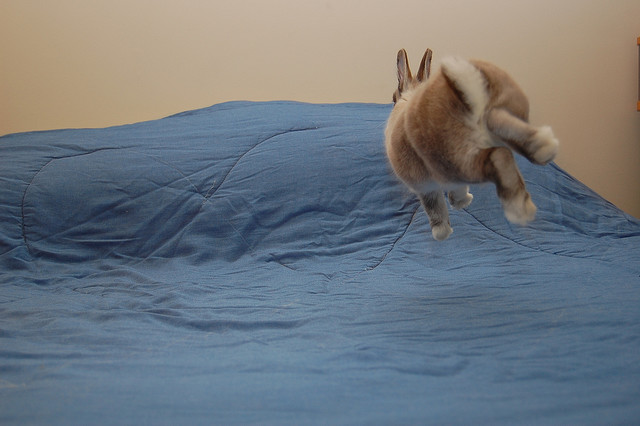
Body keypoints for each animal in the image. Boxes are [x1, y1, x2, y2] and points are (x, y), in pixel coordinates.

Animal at [384, 48, 559, 241]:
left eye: (393, 97)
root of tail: (470, 94)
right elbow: (455, 191)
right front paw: (462, 202)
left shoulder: (425, 186)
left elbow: (435, 208)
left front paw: (442, 232)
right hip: (501, 118)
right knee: (504, 124)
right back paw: (545, 149)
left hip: (454, 160)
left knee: (498, 156)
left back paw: (519, 209)